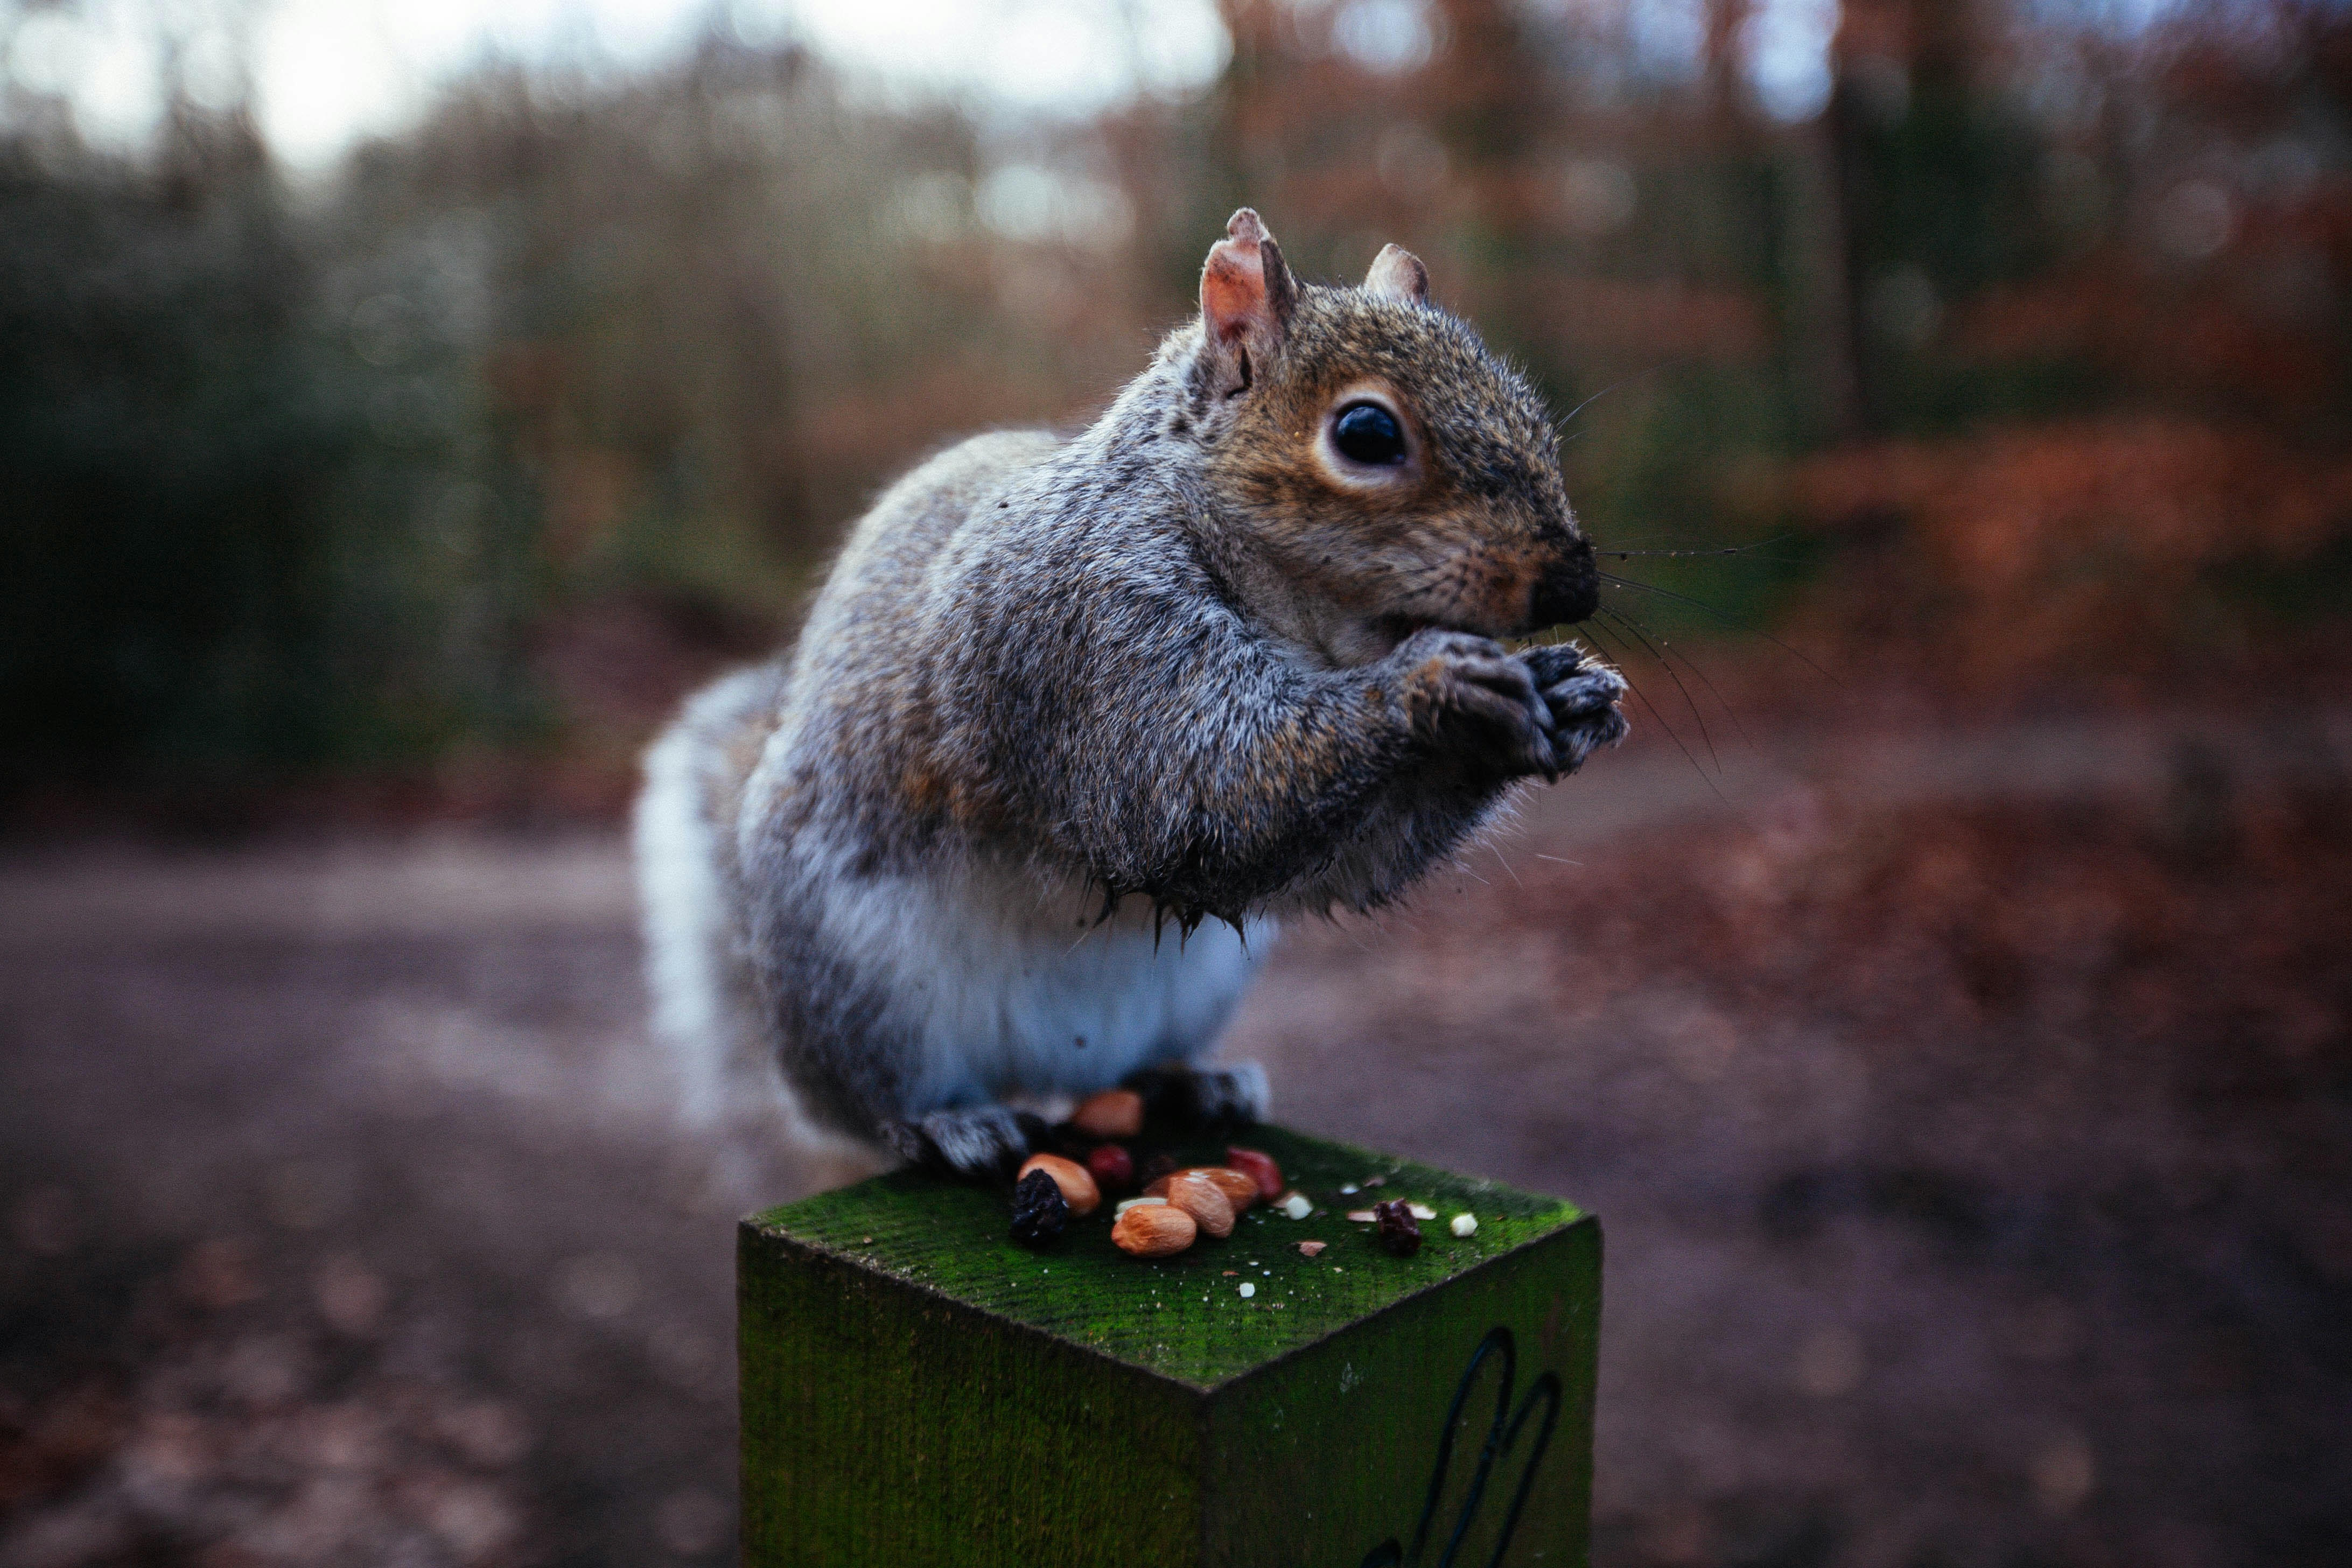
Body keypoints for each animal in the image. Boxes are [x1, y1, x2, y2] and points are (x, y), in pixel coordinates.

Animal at [634, 209, 1626, 1179]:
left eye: (1529, 412)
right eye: (1366, 435)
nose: (1573, 586)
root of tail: (1039, 1067)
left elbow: (1340, 863)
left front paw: (1573, 692)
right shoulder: (1079, 635)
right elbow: (1185, 799)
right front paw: (1436, 687)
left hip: (1190, 989)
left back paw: (1191, 1082)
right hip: (862, 989)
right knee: (867, 1106)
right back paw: (945, 1123)